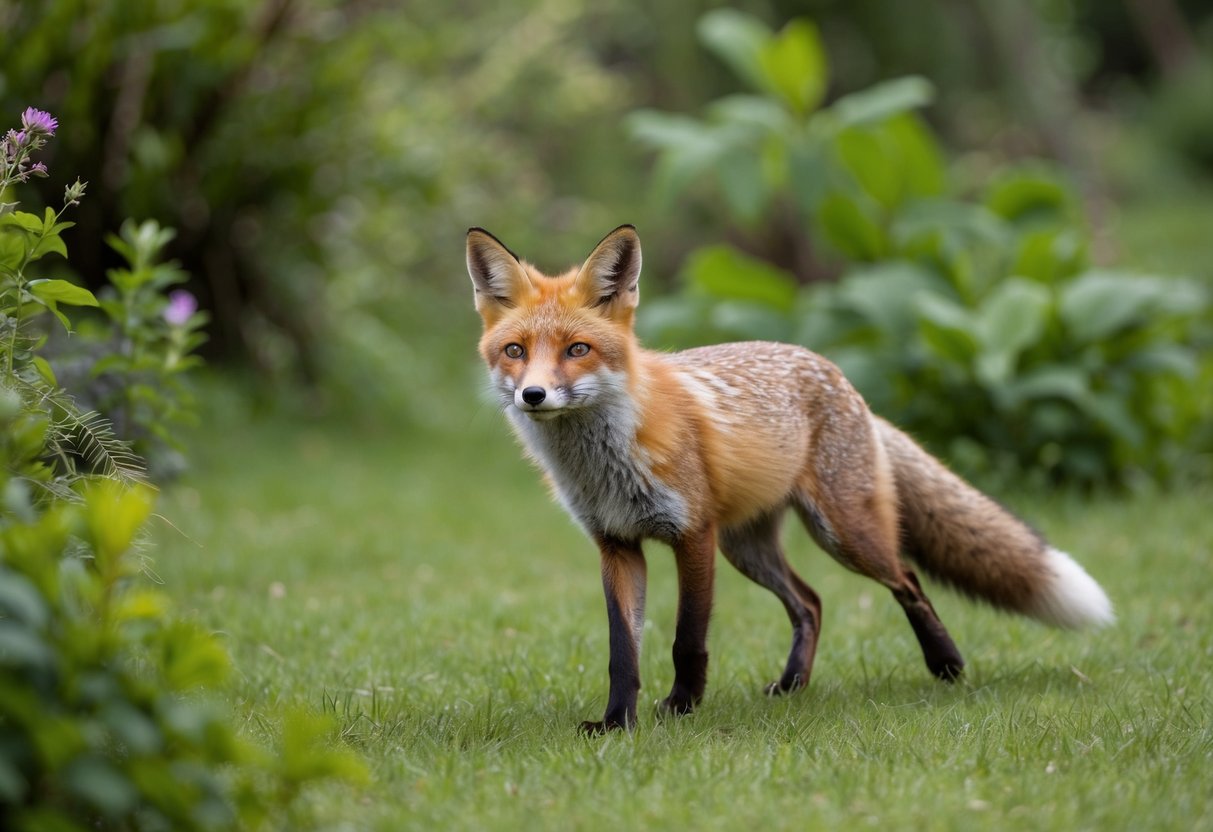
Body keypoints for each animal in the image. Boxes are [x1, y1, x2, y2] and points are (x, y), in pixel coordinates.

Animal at [466, 224, 1113, 733]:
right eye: (515, 351)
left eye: (577, 349)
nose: (533, 395)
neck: (604, 461)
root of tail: (843, 378)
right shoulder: (617, 544)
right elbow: (622, 651)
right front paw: (616, 723)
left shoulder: (692, 534)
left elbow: (686, 638)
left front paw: (681, 709)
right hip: (748, 547)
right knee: (812, 603)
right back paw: (793, 685)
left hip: (843, 534)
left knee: (907, 579)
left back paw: (946, 666)